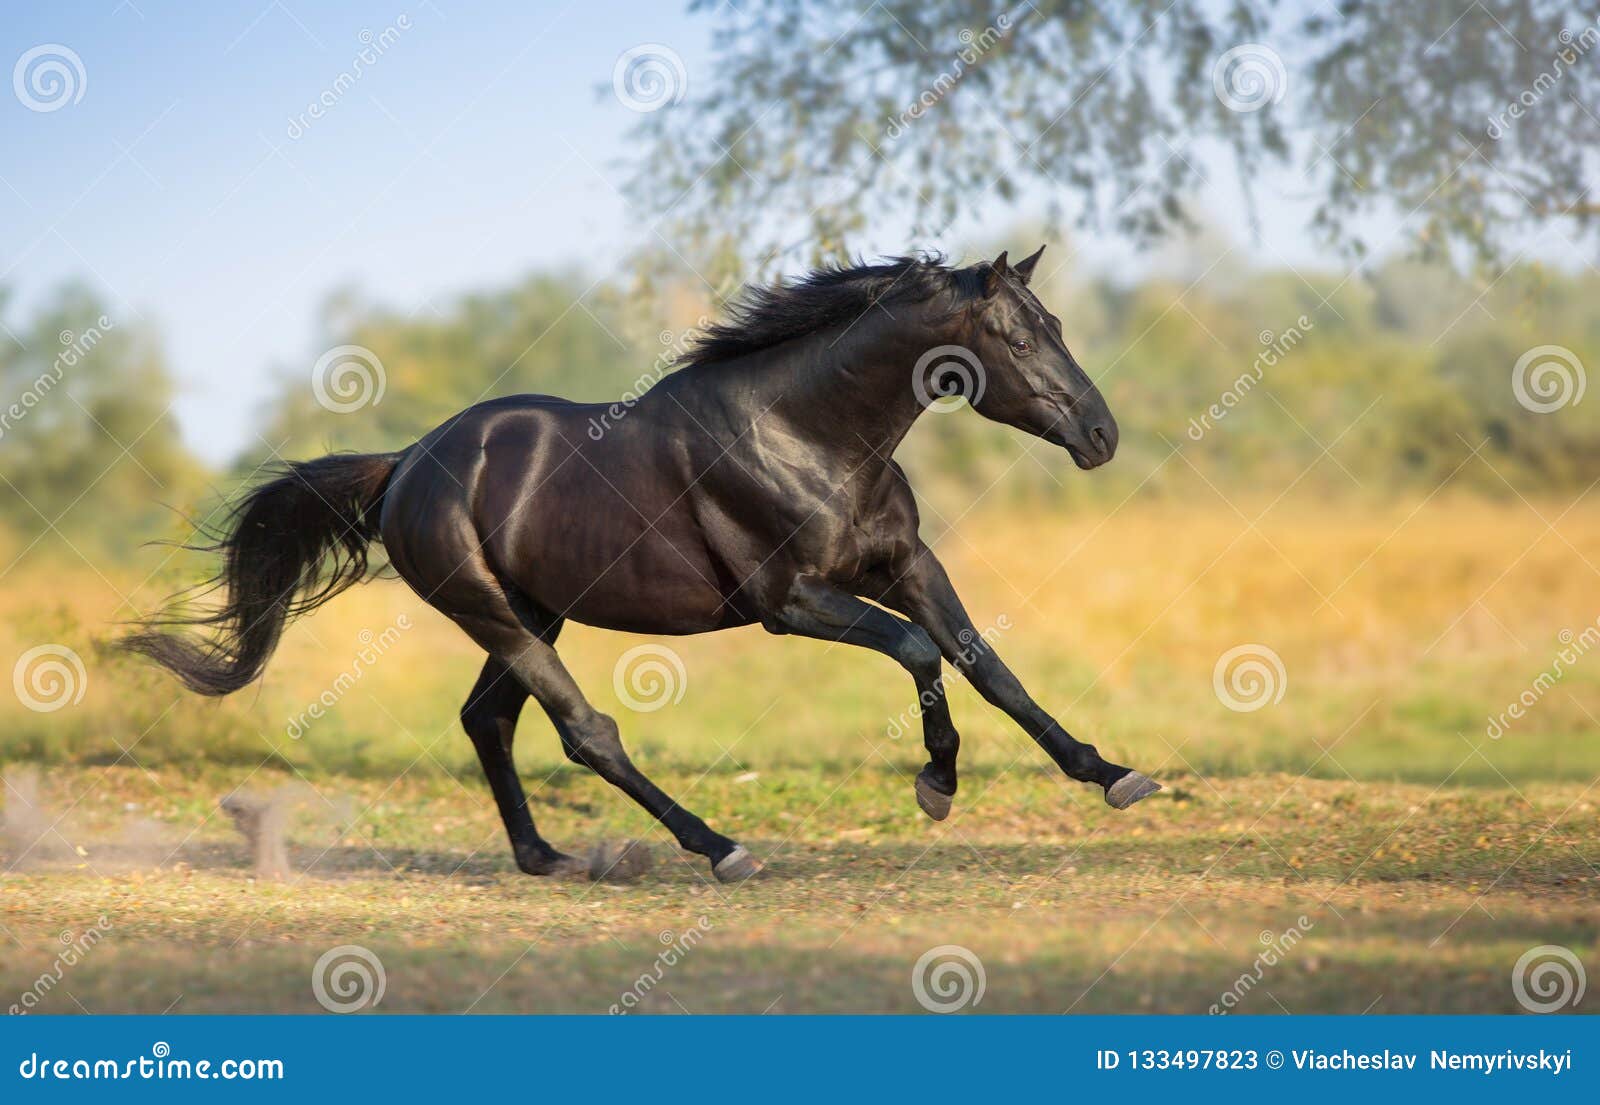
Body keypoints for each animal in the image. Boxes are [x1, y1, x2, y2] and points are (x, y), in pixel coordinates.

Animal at [124, 247, 1162, 884]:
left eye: (1057, 322)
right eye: (1017, 337)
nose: (1102, 435)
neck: (810, 433)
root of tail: (408, 463)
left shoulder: (904, 565)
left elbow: (986, 664)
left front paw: (1110, 772)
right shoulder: (793, 601)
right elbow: (919, 653)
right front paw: (936, 786)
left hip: (532, 611)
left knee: (487, 718)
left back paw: (548, 857)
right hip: (495, 613)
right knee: (586, 731)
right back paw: (717, 847)